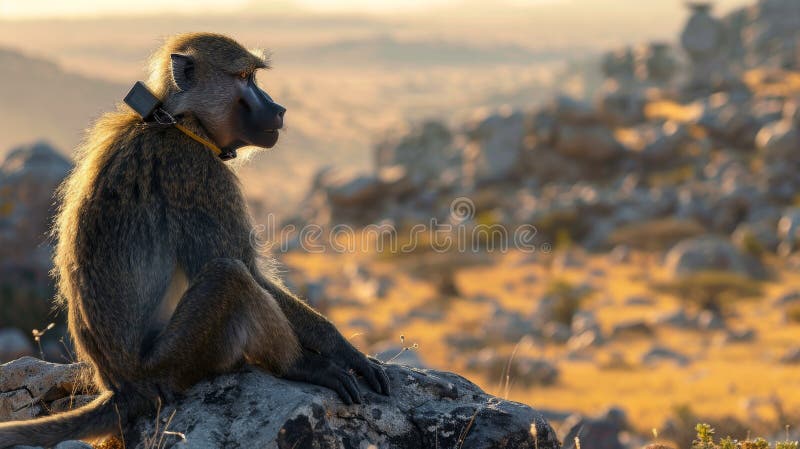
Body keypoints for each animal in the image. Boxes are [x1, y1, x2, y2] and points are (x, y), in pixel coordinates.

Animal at [0, 32, 390, 448]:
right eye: (245, 77)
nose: (279, 109)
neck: (178, 122)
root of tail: (124, 387)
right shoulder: (196, 172)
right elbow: (249, 269)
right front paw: (345, 351)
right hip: (175, 362)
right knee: (230, 277)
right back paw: (300, 365)